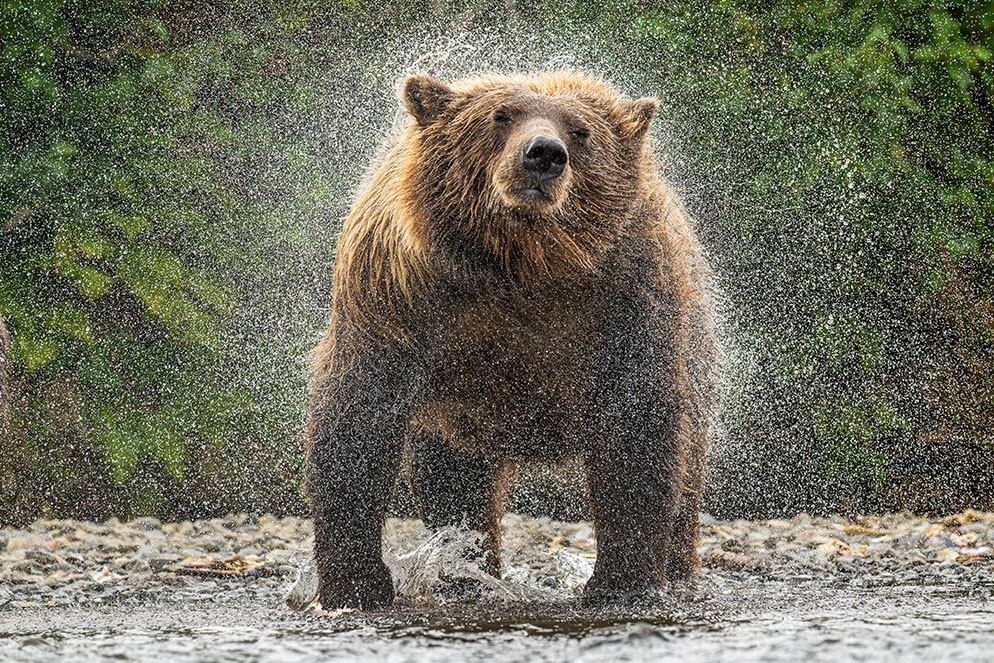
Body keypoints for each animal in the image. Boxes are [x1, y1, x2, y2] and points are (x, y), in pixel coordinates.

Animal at [305, 72, 720, 610]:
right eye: (500, 115)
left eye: (581, 130)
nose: (544, 153)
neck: (521, 263)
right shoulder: (399, 296)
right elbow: (357, 418)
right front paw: (356, 583)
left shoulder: (625, 297)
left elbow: (636, 424)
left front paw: (621, 584)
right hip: (456, 414)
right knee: (455, 483)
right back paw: (465, 571)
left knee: (688, 471)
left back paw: (678, 569)